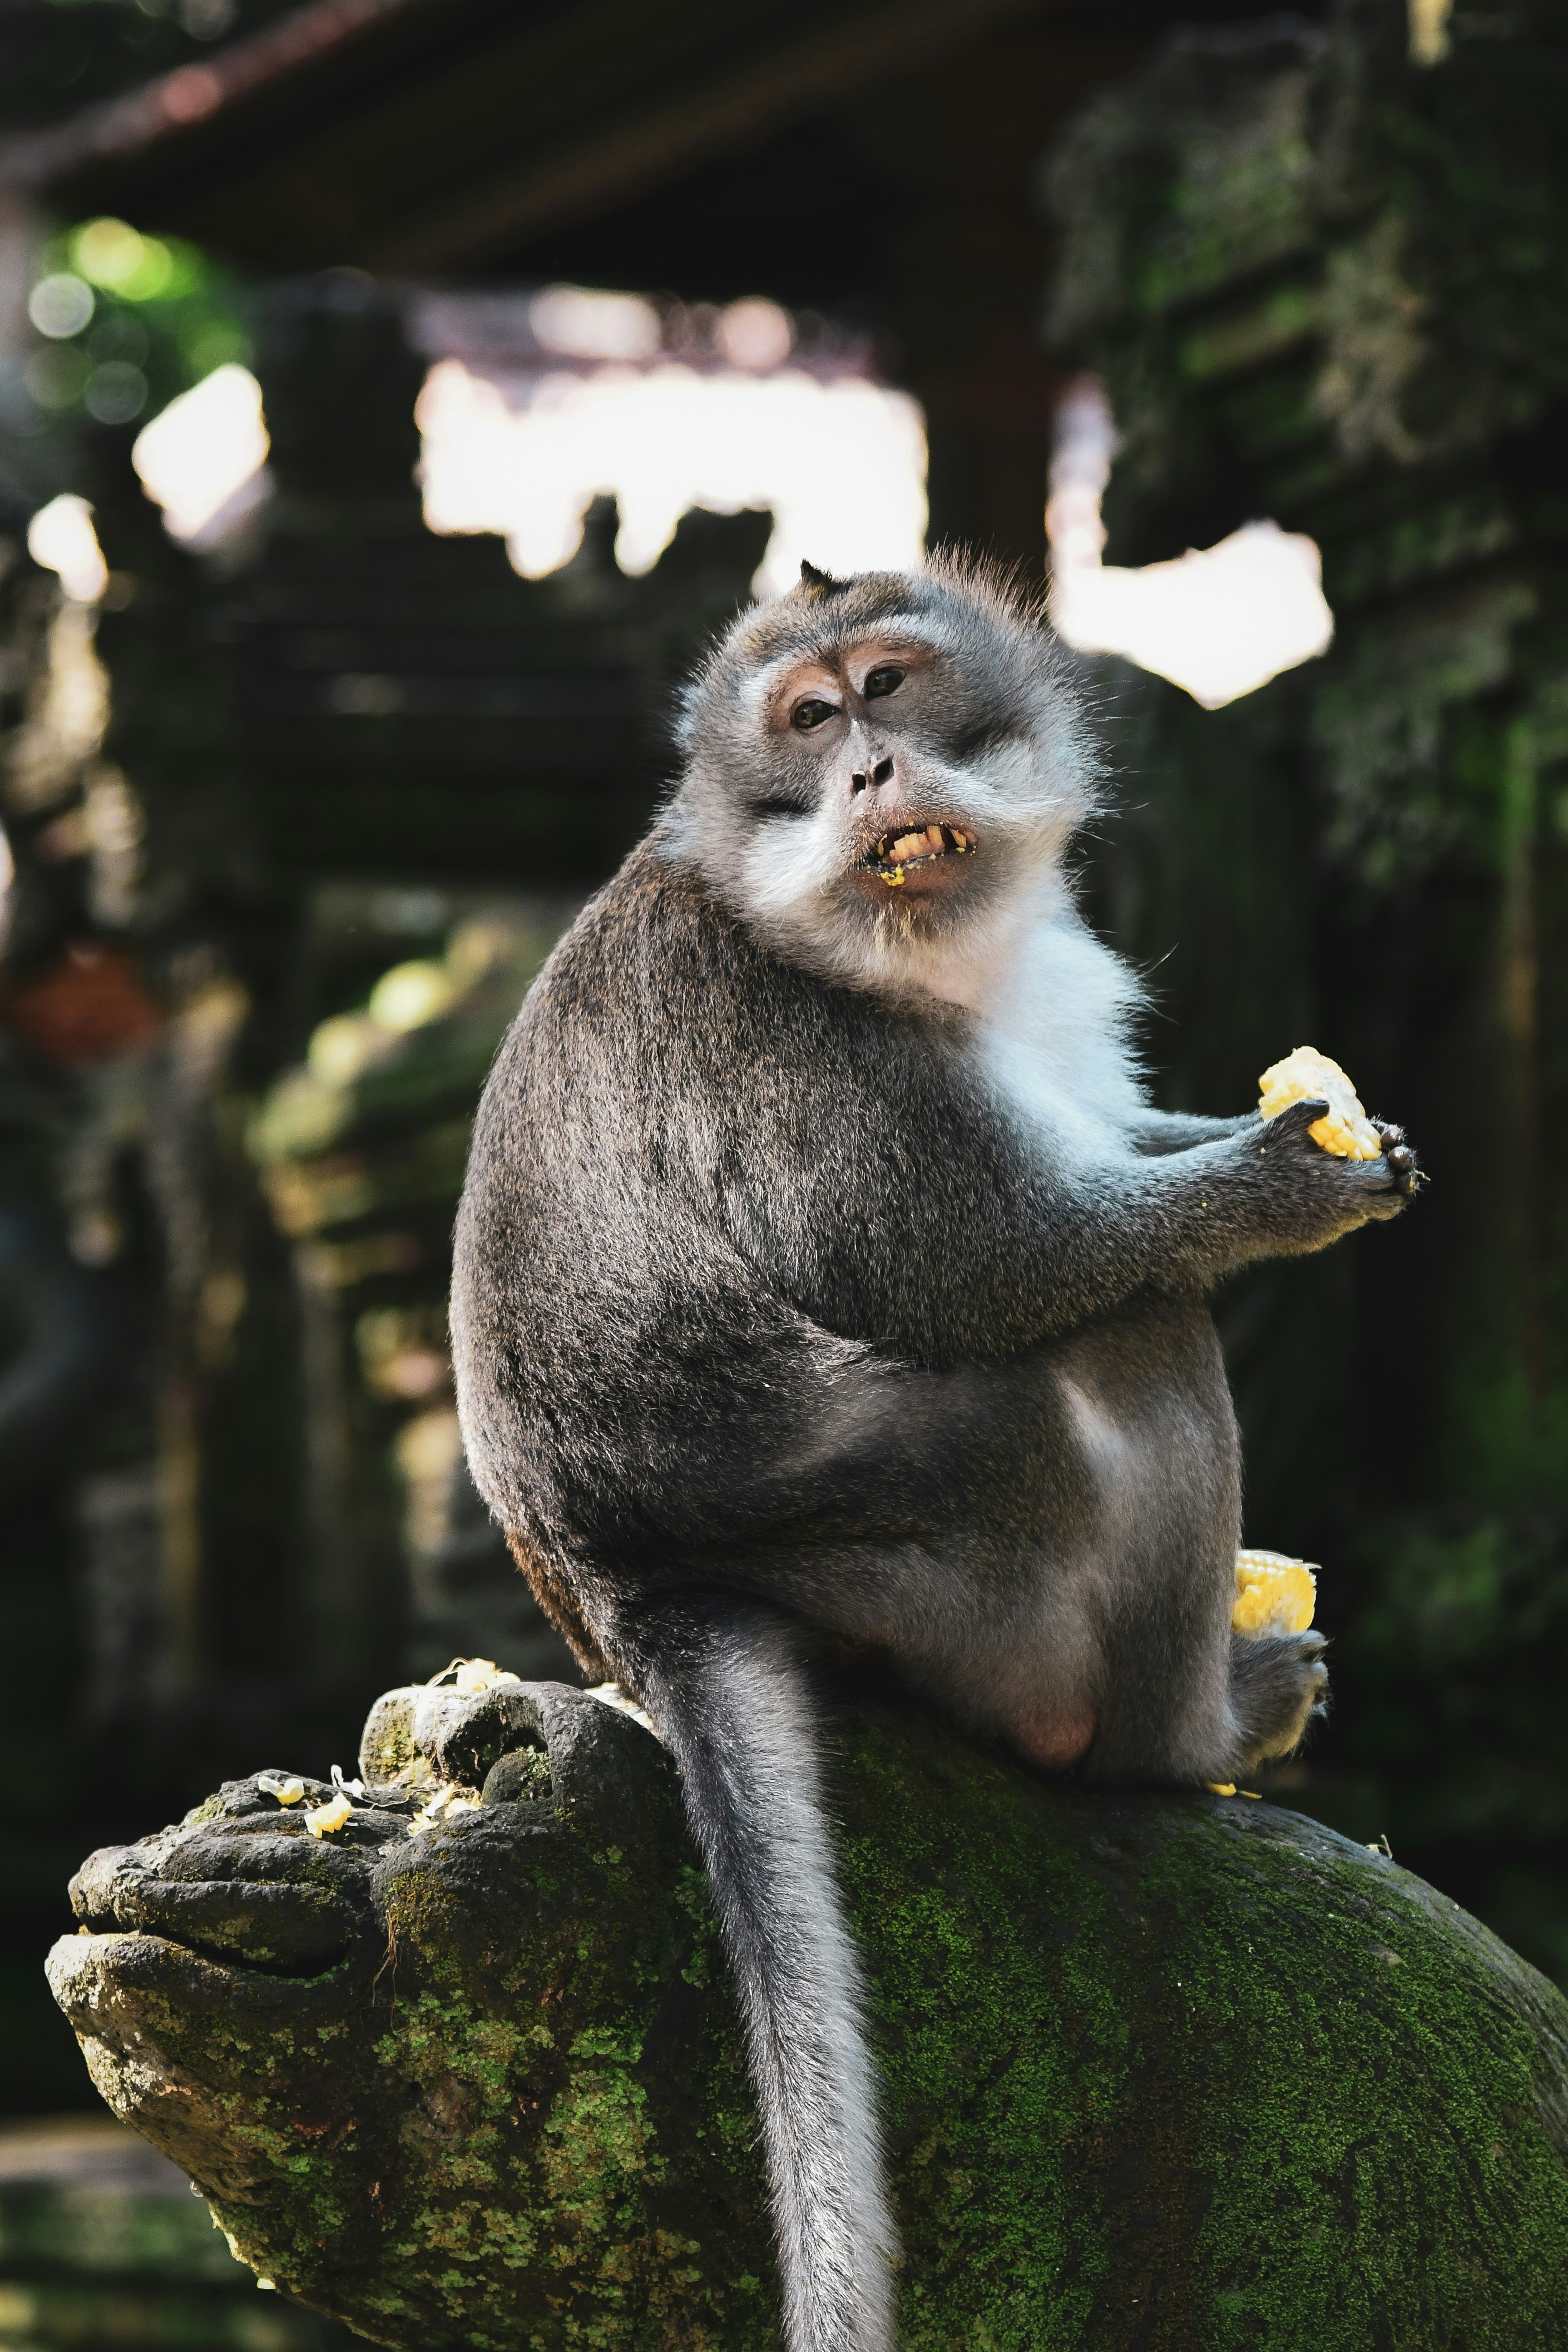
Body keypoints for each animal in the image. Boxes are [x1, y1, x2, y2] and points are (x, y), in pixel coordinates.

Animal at [450, 553, 1420, 2352]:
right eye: (805, 719)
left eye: (887, 685)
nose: (868, 771)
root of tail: (635, 1600)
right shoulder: (795, 1057)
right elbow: (992, 1264)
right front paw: (1273, 1189)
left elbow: (1098, 1147)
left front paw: (1318, 1135)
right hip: (951, 1561)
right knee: (1127, 1333)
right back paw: (1179, 1737)